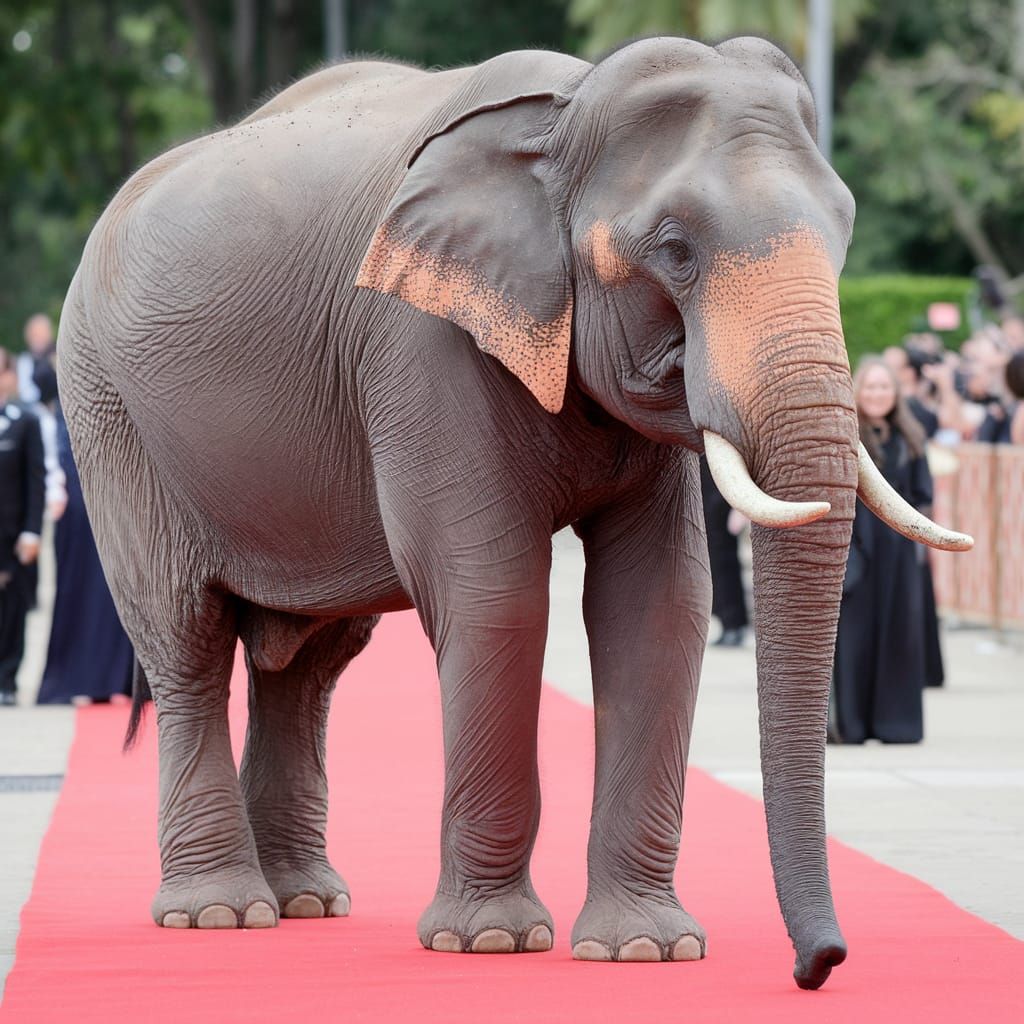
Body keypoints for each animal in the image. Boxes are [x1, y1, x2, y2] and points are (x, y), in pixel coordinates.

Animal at [57, 36, 971, 990]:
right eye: (675, 250)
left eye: (844, 233)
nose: (818, 966)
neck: (564, 117)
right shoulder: (418, 339)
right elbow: (496, 597)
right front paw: (491, 941)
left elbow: (659, 605)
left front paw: (645, 949)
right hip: (108, 409)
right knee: (186, 636)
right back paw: (220, 913)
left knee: (310, 661)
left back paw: (305, 901)